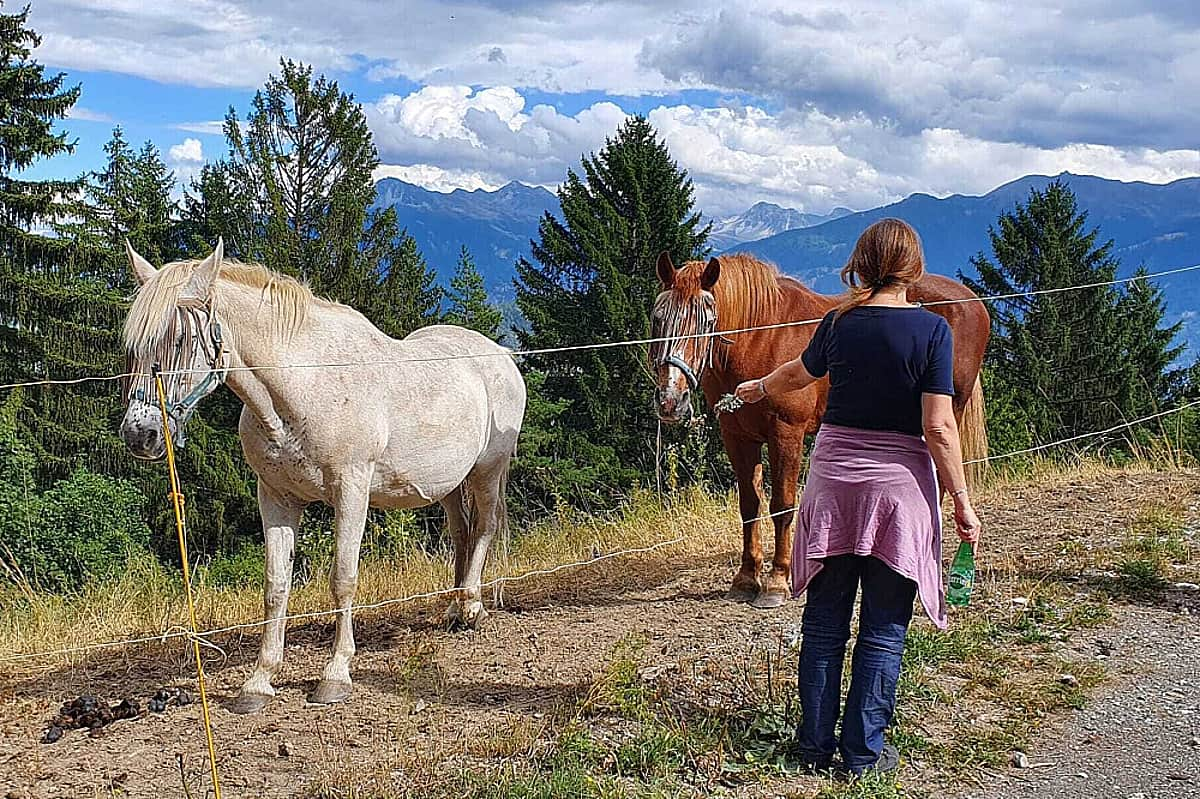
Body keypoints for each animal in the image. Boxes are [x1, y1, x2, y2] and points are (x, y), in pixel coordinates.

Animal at [117, 239, 525, 710]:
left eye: (180, 339)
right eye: (135, 346)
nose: (140, 433)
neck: (303, 388)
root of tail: (502, 355)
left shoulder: (351, 491)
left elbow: (342, 579)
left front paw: (335, 674)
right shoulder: (275, 497)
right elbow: (276, 586)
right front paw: (259, 680)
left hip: (487, 471)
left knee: (485, 527)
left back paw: (472, 607)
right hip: (449, 483)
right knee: (461, 533)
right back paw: (454, 609)